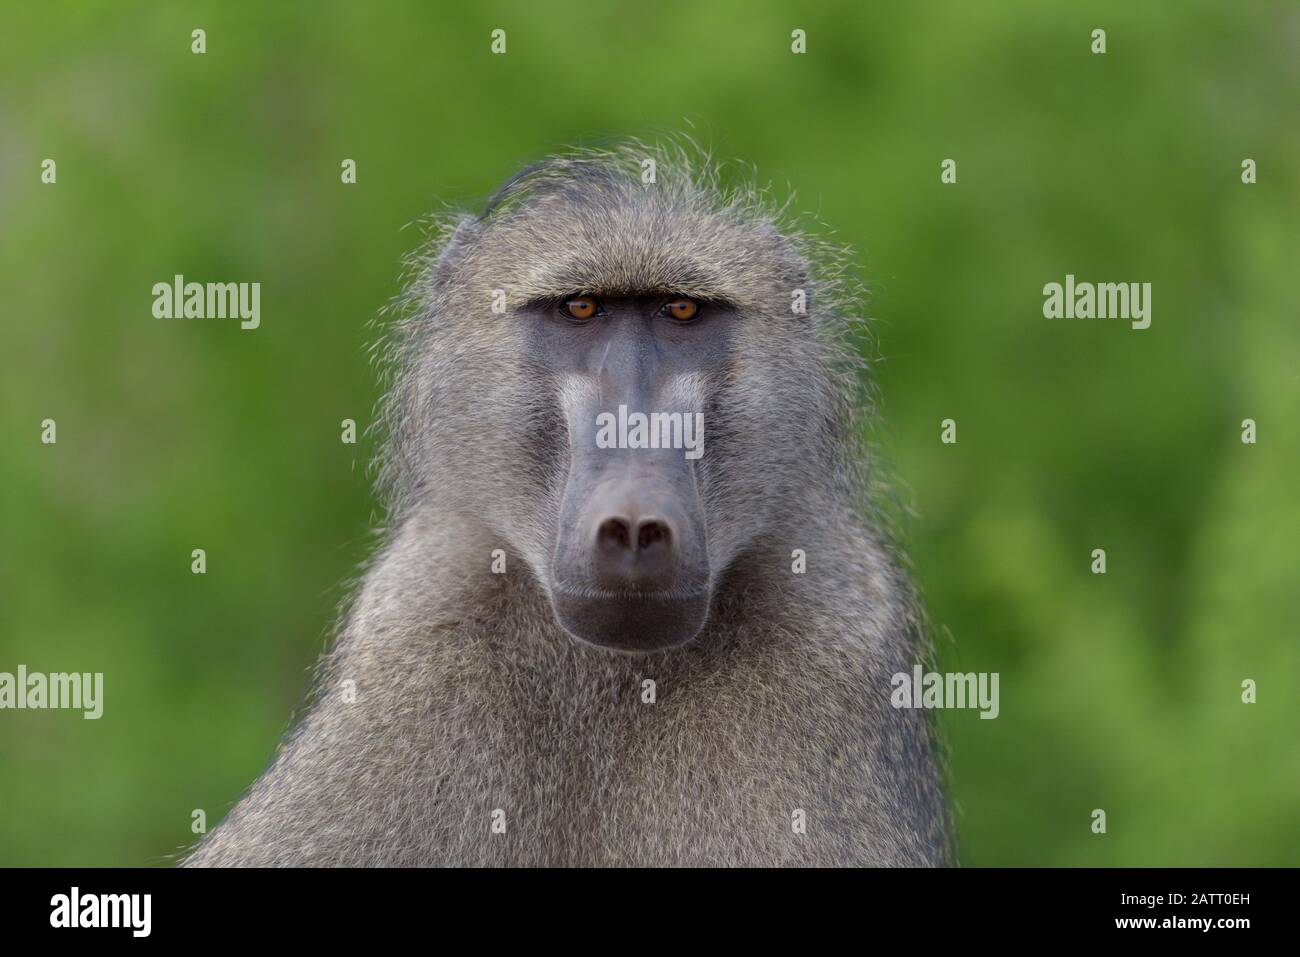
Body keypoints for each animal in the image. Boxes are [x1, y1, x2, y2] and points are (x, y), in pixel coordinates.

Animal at [185, 141, 951, 867]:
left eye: (682, 312)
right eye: (580, 309)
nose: (636, 525)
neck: (611, 673)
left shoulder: (829, 629)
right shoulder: (421, 630)